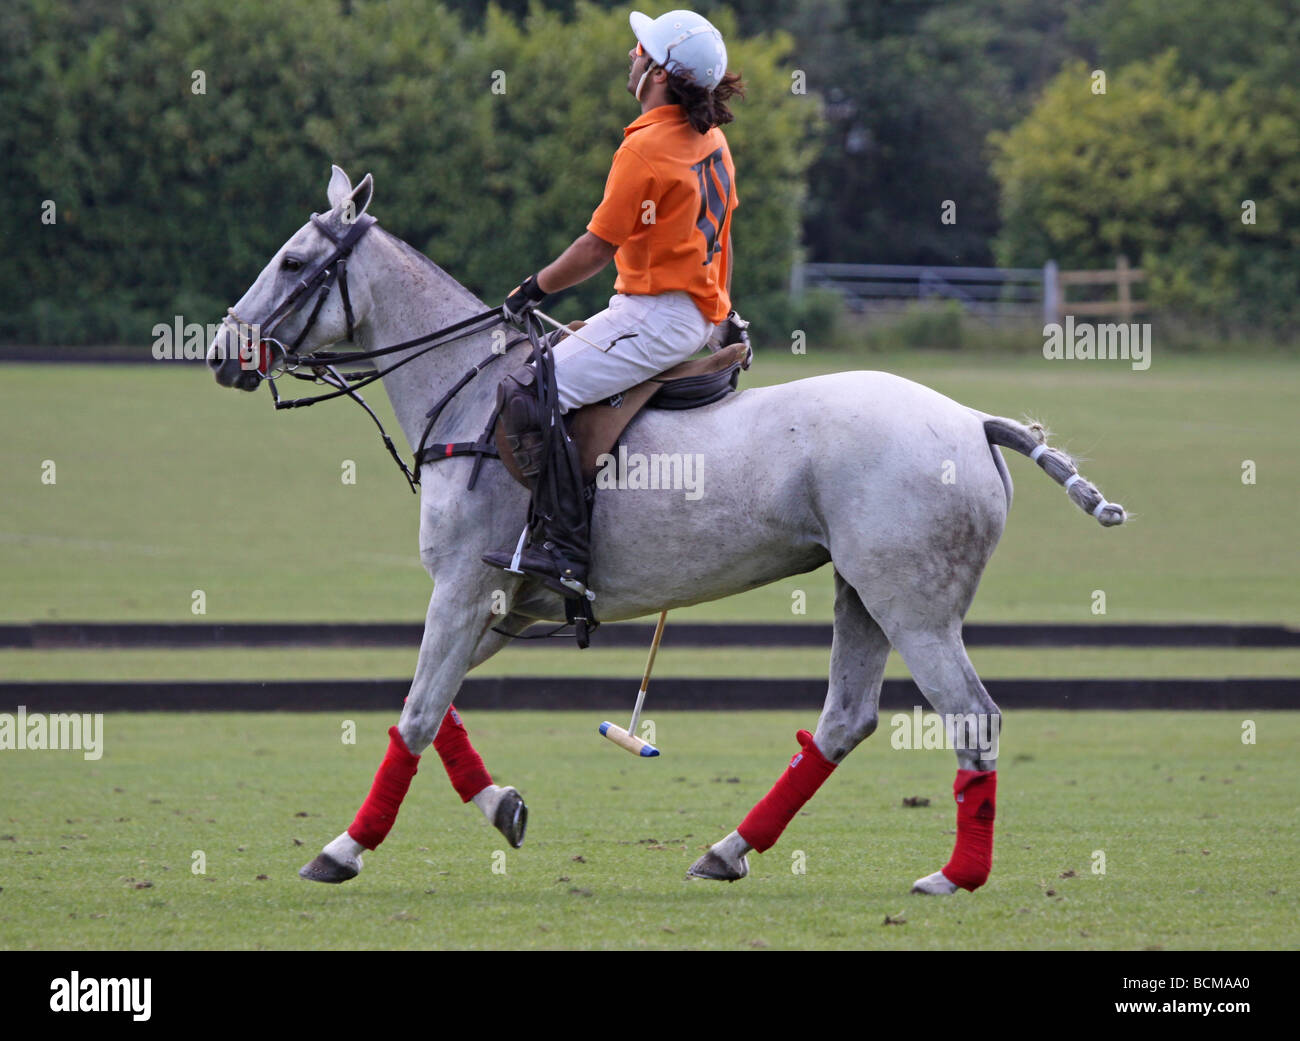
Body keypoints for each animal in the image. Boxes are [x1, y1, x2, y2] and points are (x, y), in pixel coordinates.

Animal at [208, 166, 1125, 893]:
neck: (463, 394)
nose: (222, 352)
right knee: (845, 718)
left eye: (294, 261)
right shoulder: (500, 602)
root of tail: (974, 420)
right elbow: (432, 703)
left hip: (915, 604)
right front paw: (503, 805)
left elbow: (418, 714)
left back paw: (955, 875)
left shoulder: (466, 584)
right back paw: (728, 849)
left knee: (972, 716)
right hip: (863, 592)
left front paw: (342, 849)